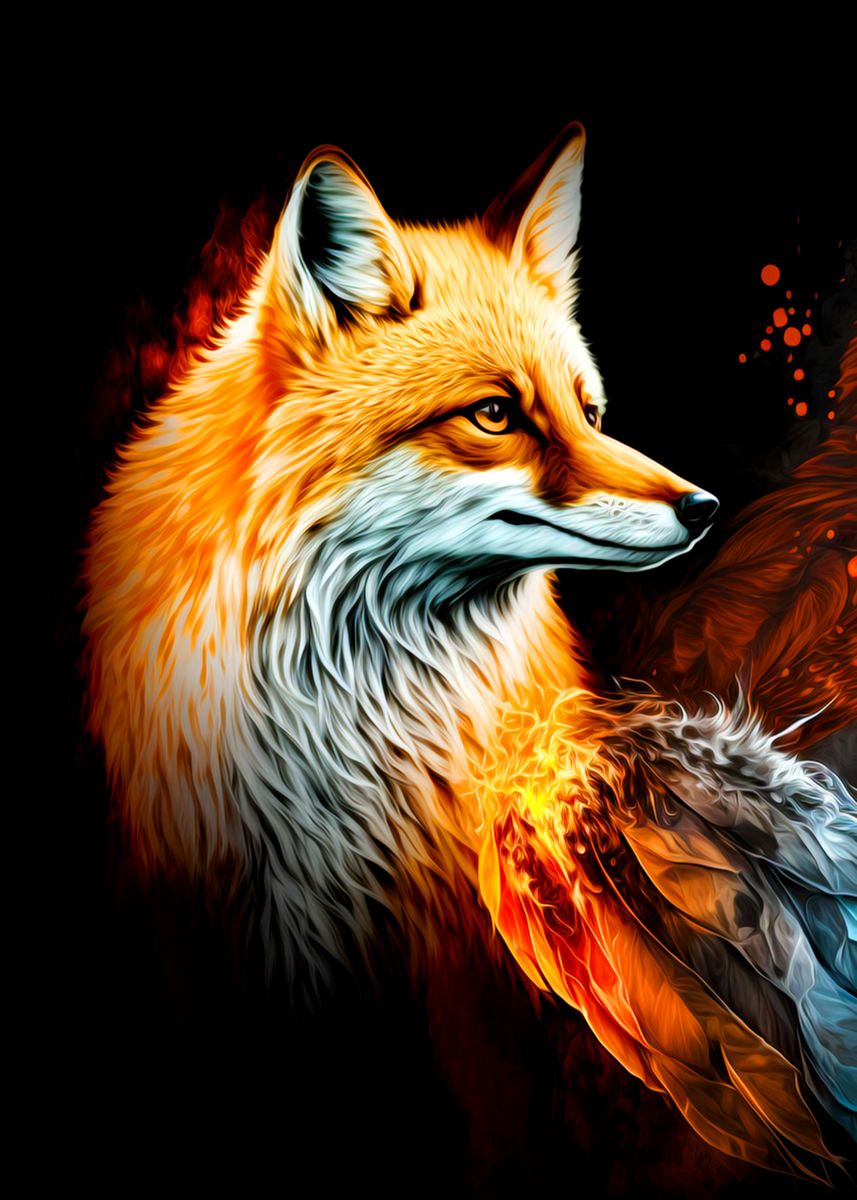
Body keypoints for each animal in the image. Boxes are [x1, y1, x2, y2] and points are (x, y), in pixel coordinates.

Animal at [81, 122, 856, 1183]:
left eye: (589, 411)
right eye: (494, 414)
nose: (702, 507)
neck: (346, 747)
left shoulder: (467, 951)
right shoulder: (199, 912)